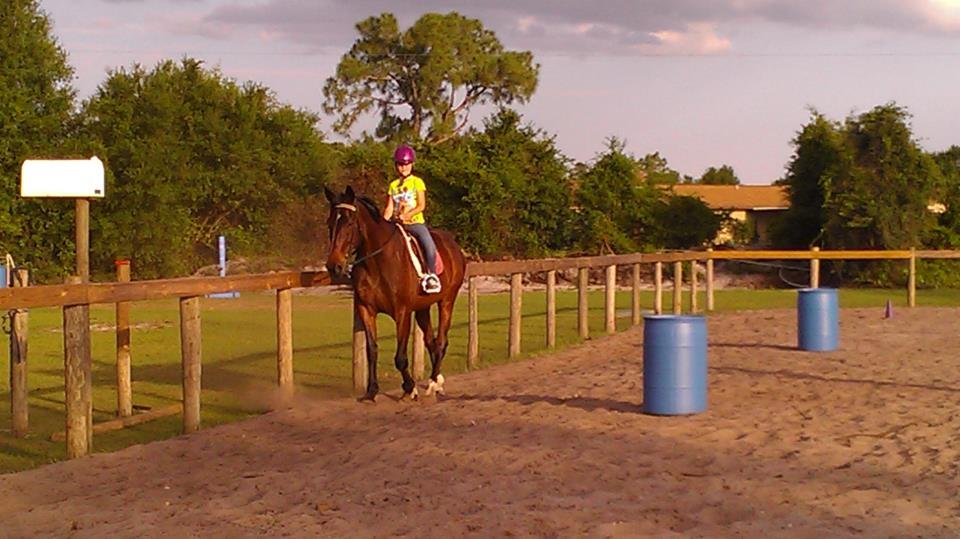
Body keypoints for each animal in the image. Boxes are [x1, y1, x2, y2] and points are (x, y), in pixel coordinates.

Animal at [324, 185, 467, 401]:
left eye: (349, 222)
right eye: (330, 223)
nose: (334, 266)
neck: (378, 261)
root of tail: (454, 244)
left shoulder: (402, 312)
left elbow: (400, 357)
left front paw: (409, 387)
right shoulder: (367, 309)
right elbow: (372, 351)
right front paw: (371, 391)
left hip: (447, 301)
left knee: (441, 341)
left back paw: (433, 383)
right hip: (423, 308)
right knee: (431, 342)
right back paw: (437, 381)